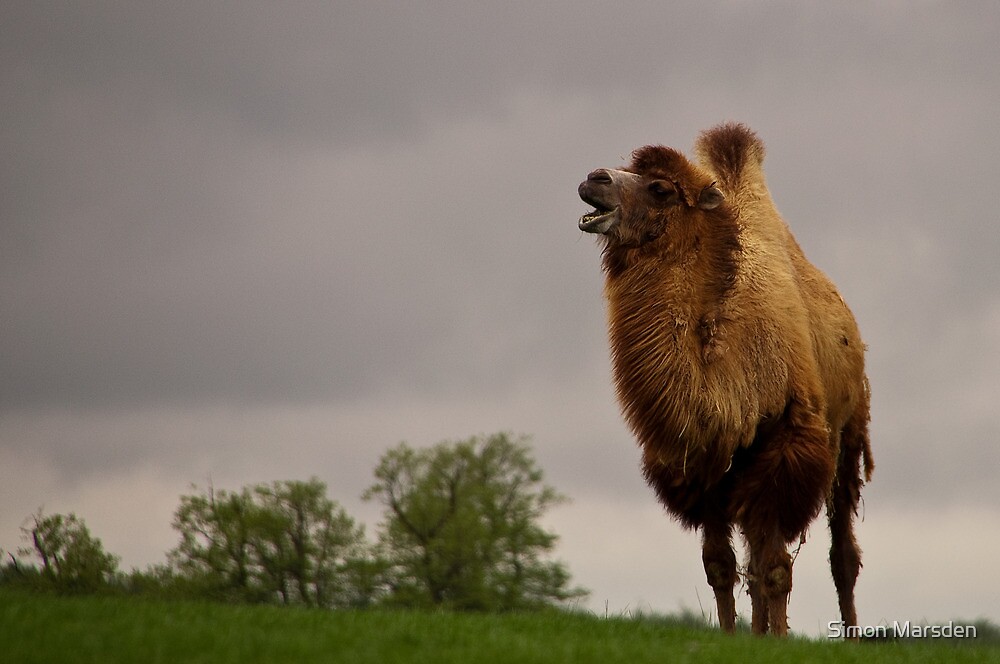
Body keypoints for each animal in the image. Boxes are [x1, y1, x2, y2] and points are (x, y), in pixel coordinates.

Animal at [577, 123, 873, 636]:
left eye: (660, 188)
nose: (594, 179)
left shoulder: (785, 450)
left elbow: (775, 568)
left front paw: (777, 640)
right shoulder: (703, 464)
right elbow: (720, 566)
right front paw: (738, 639)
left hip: (847, 434)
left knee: (842, 554)